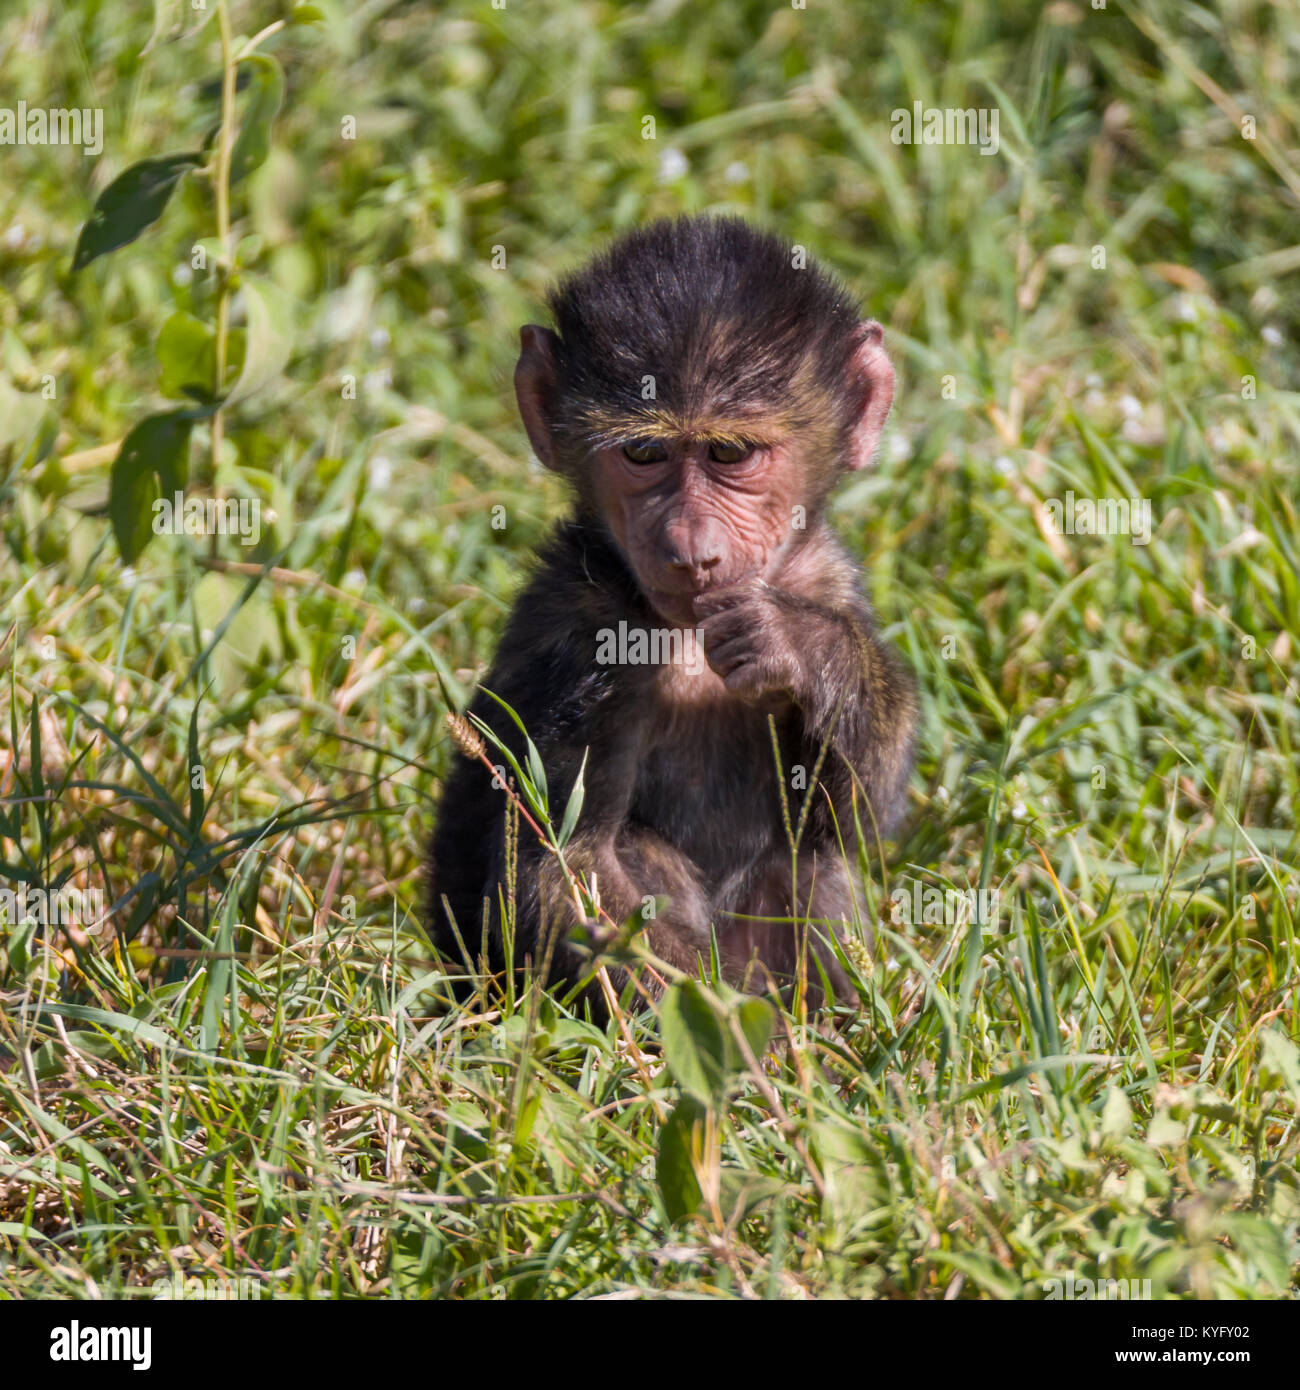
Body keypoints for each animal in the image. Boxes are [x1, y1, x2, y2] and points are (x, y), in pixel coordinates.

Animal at [429, 216, 916, 1010]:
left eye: (731, 452)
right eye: (643, 452)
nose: (691, 548)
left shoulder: (824, 574)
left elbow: (856, 820)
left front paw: (802, 646)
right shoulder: (582, 634)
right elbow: (565, 858)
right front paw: (748, 1038)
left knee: (810, 865)